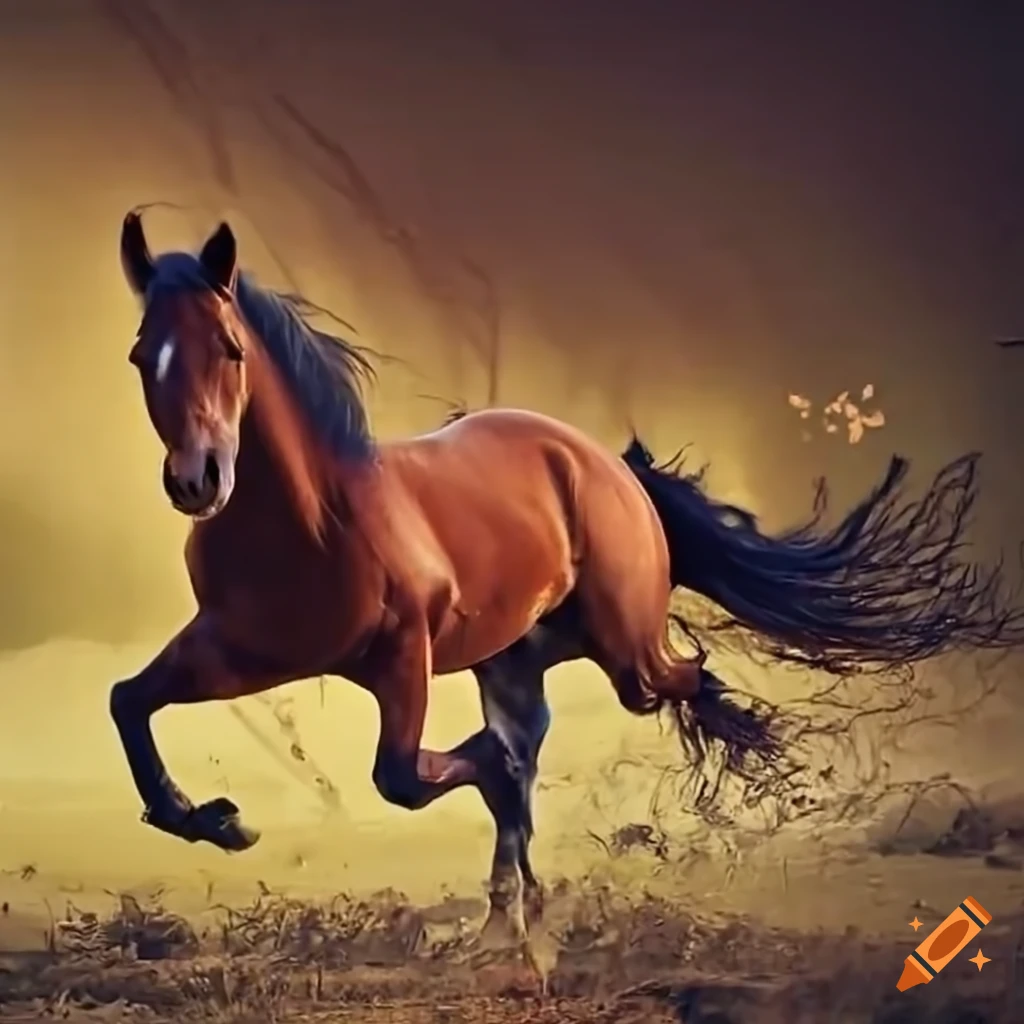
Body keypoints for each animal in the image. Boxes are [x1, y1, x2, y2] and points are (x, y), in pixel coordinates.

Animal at [112, 211, 1023, 950]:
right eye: (140, 354)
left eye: (230, 350)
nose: (197, 481)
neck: (313, 523)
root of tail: (605, 463)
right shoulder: (240, 651)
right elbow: (129, 701)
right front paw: (214, 820)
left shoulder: (402, 657)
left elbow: (405, 776)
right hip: (516, 656)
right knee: (545, 746)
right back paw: (501, 923)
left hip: (622, 650)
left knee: (681, 681)